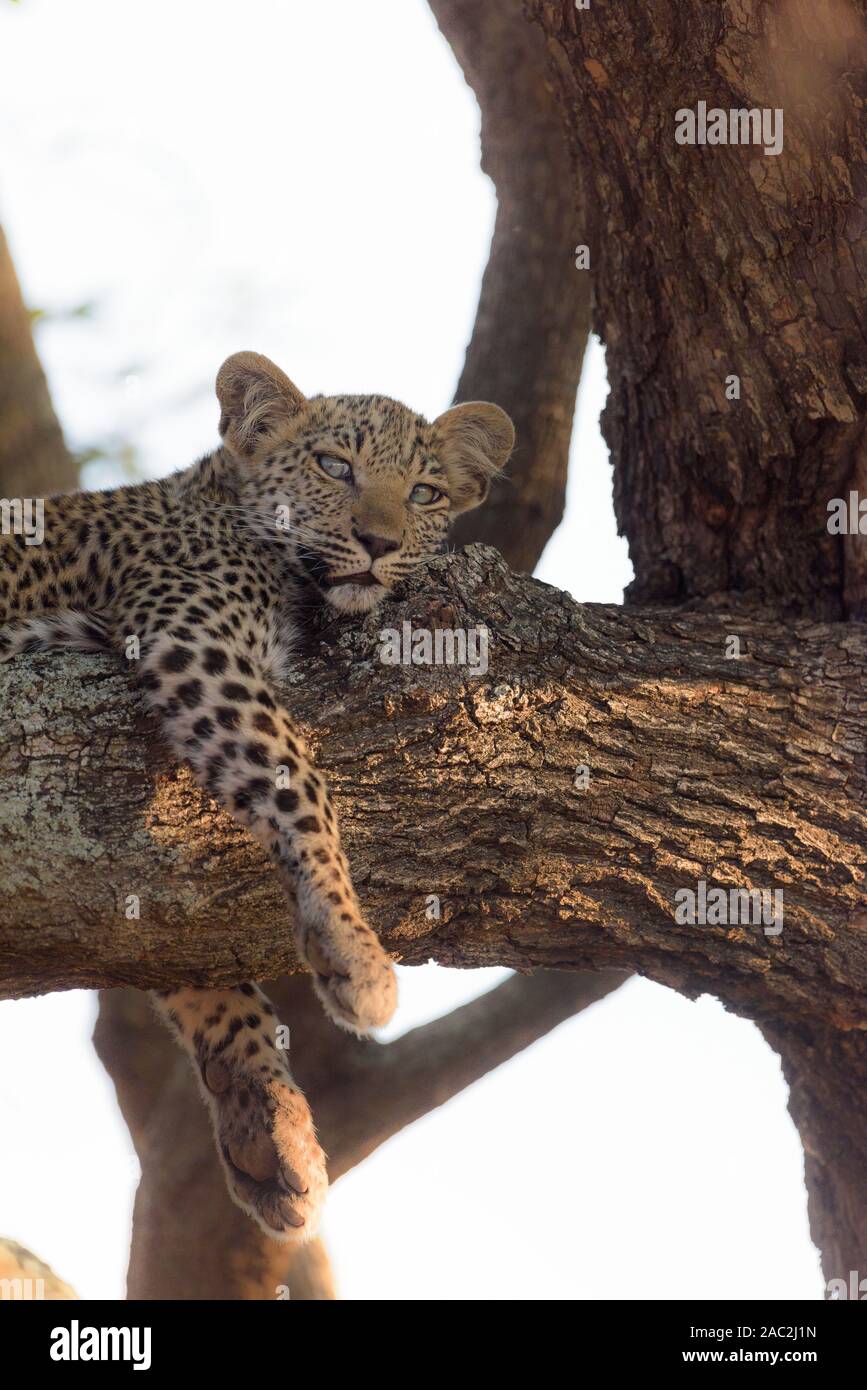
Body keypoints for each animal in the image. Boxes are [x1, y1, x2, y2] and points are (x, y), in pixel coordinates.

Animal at [0, 353, 514, 1245]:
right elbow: (297, 780)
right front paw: (353, 950)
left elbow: (187, 968)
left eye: (424, 492)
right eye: (334, 467)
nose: (378, 544)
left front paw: (265, 1126)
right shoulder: (194, 641)